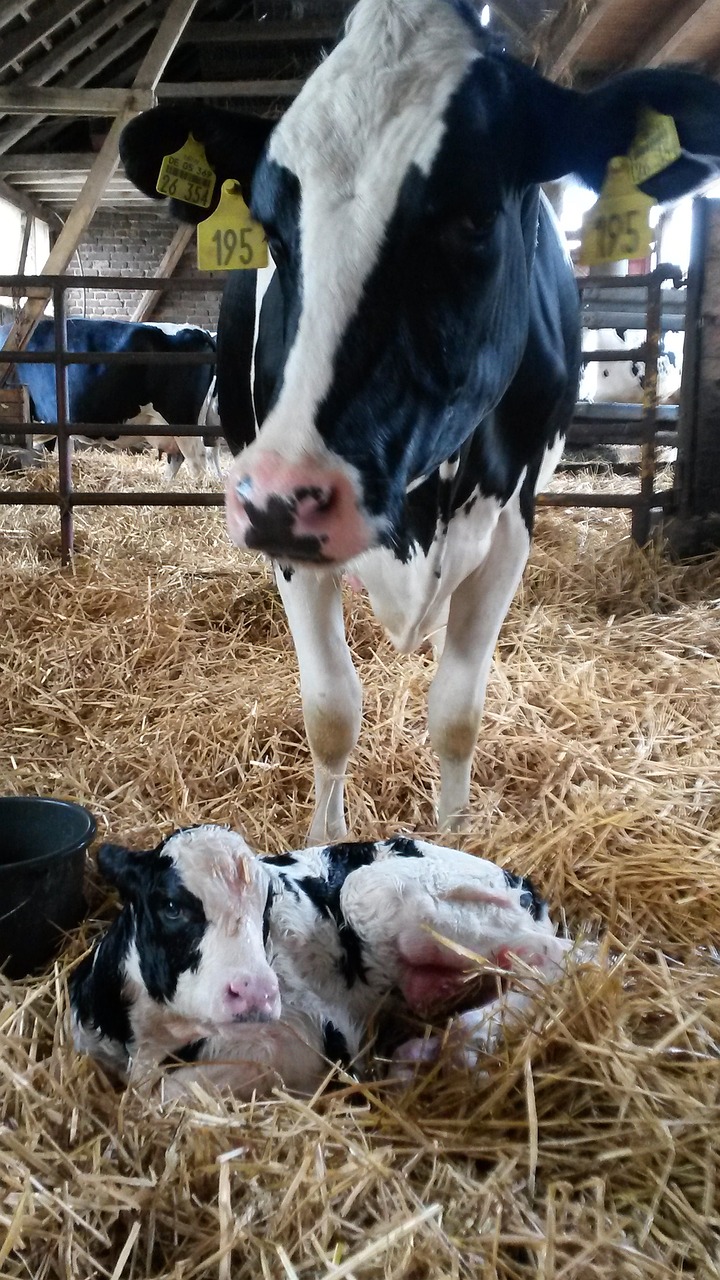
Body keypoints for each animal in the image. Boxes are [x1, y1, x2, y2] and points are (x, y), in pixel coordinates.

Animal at [70, 824, 572, 1098]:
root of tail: (525, 884)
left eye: (265, 909)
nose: (256, 992)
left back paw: (452, 1045)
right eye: (171, 906)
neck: (156, 1038)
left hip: (375, 891)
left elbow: (168, 1098)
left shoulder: (310, 1043)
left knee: (562, 960)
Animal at [120, 0, 720, 841]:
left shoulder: (509, 531)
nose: (283, 495)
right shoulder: (290, 547)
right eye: (271, 228)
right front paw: (324, 841)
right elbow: (331, 712)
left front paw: (456, 839)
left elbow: (457, 715)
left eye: (473, 218)